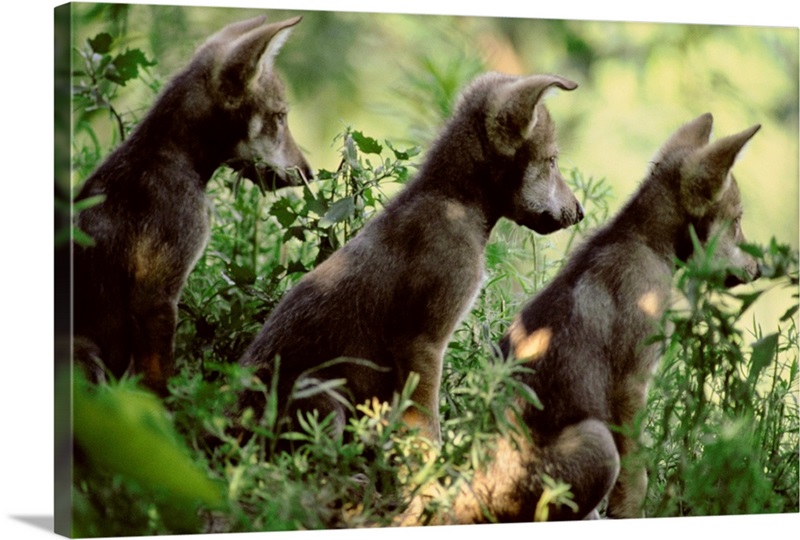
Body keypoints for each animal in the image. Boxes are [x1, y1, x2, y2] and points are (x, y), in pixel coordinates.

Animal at [238, 72, 584, 443]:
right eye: (552, 161)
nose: (581, 212)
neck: (455, 203)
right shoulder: (422, 343)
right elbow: (426, 425)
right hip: (326, 401)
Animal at [443, 113, 761, 522]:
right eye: (736, 221)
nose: (760, 267)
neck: (643, 243)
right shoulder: (630, 384)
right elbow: (637, 473)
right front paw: (629, 514)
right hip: (597, 442)